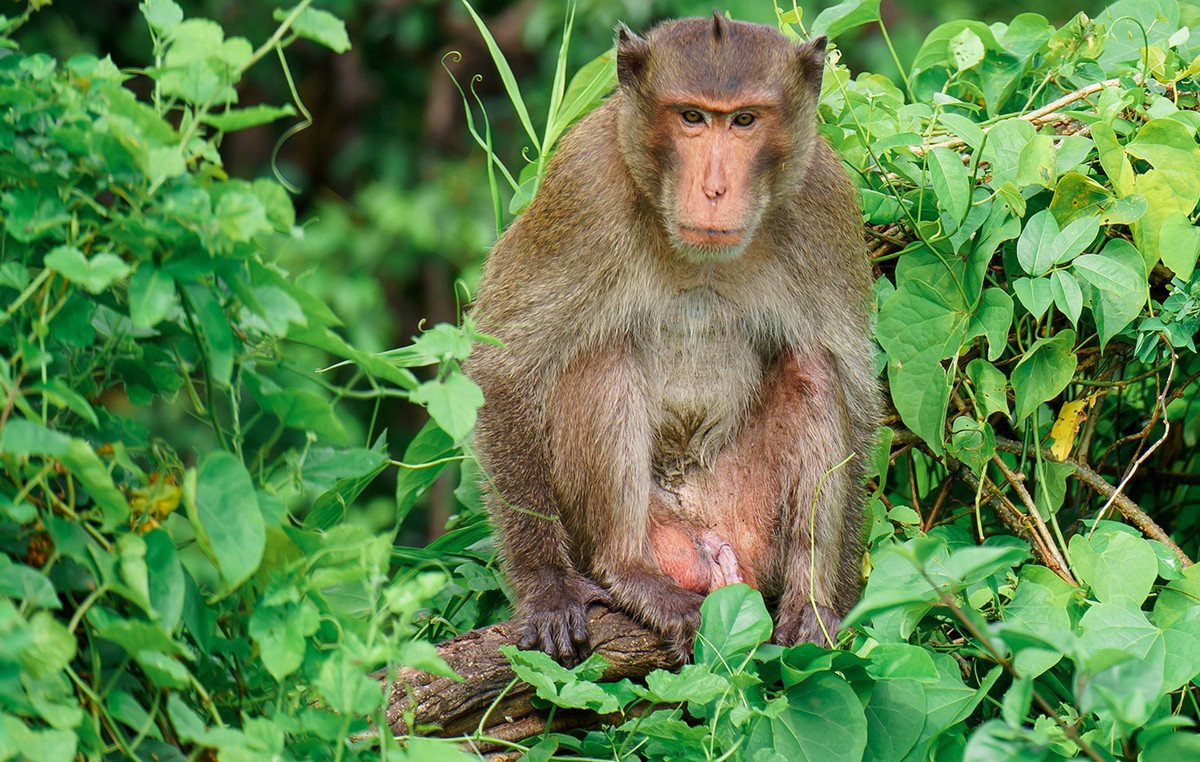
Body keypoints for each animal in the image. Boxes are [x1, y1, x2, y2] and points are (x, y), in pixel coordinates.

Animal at [465, 14, 880, 665]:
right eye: (691, 117)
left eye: (743, 120)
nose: (714, 189)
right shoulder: (584, 187)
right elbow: (505, 366)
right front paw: (547, 587)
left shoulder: (825, 202)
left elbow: (855, 394)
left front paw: (829, 598)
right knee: (603, 356)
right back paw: (629, 571)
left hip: (749, 517)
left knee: (812, 368)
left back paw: (804, 597)